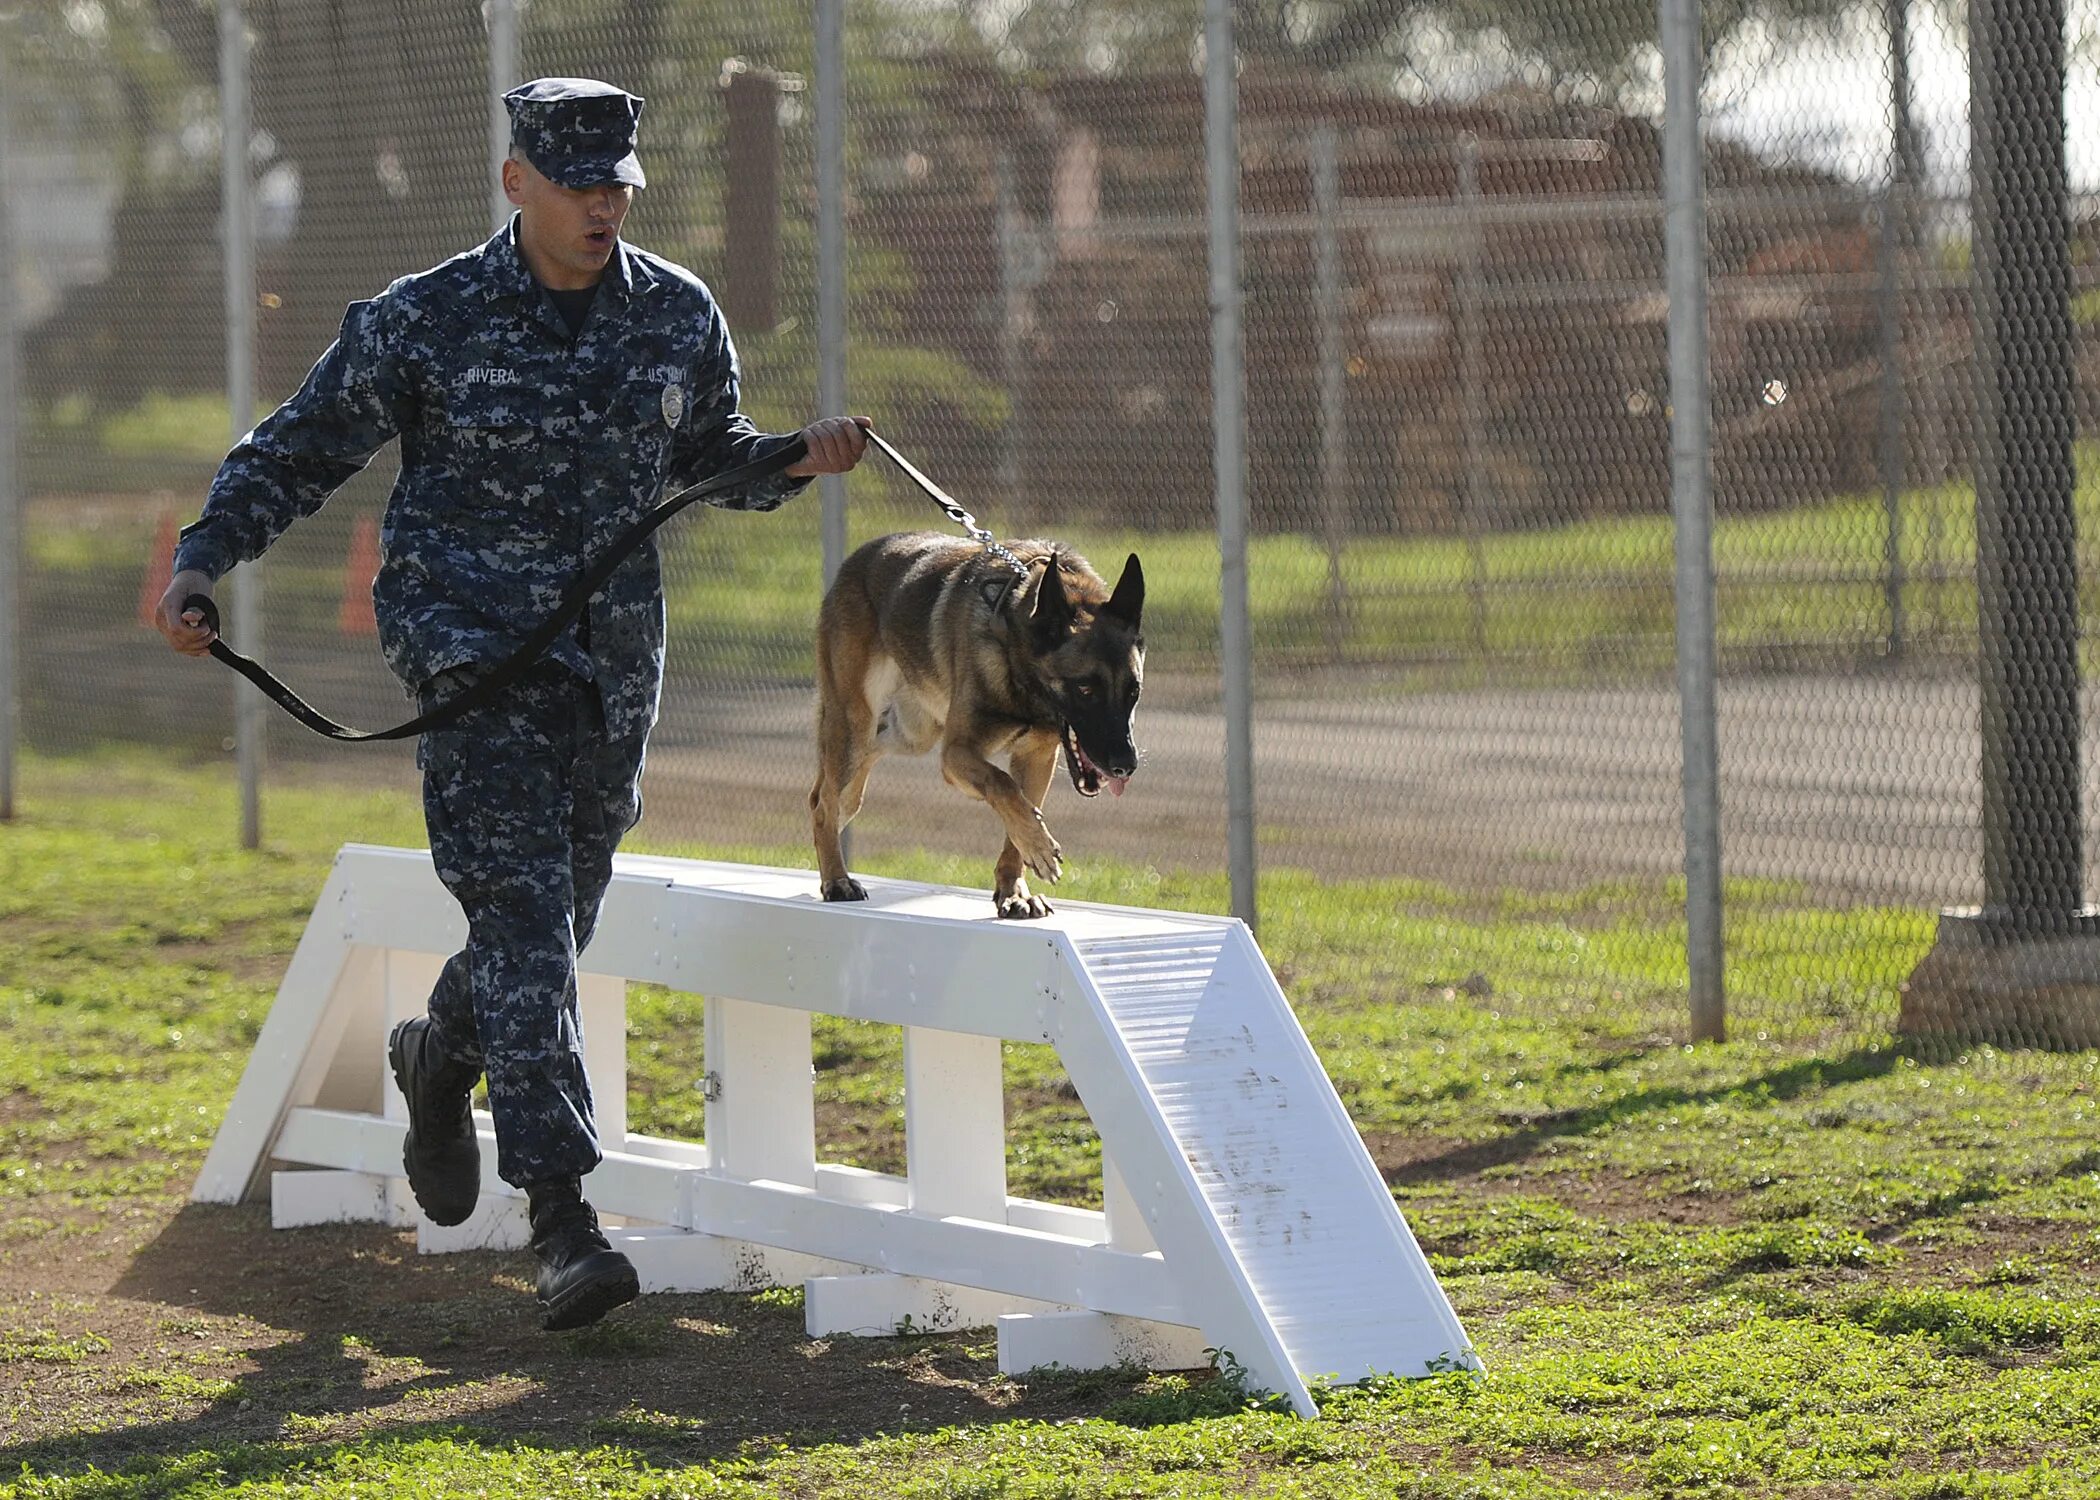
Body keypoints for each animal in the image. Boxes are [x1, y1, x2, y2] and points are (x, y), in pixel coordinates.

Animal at [810, 531, 1150, 915]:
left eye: (1134, 691)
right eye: (1085, 688)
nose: (1126, 765)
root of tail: (857, 559)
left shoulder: (1036, 760)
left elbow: (1021, 813)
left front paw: (1015, 890)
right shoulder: (958, 753)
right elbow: (1003, 785)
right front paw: (1039, 846)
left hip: (906, 735)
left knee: (836, 791)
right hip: (855, 725)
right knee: (825, 806)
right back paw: (836, 880)